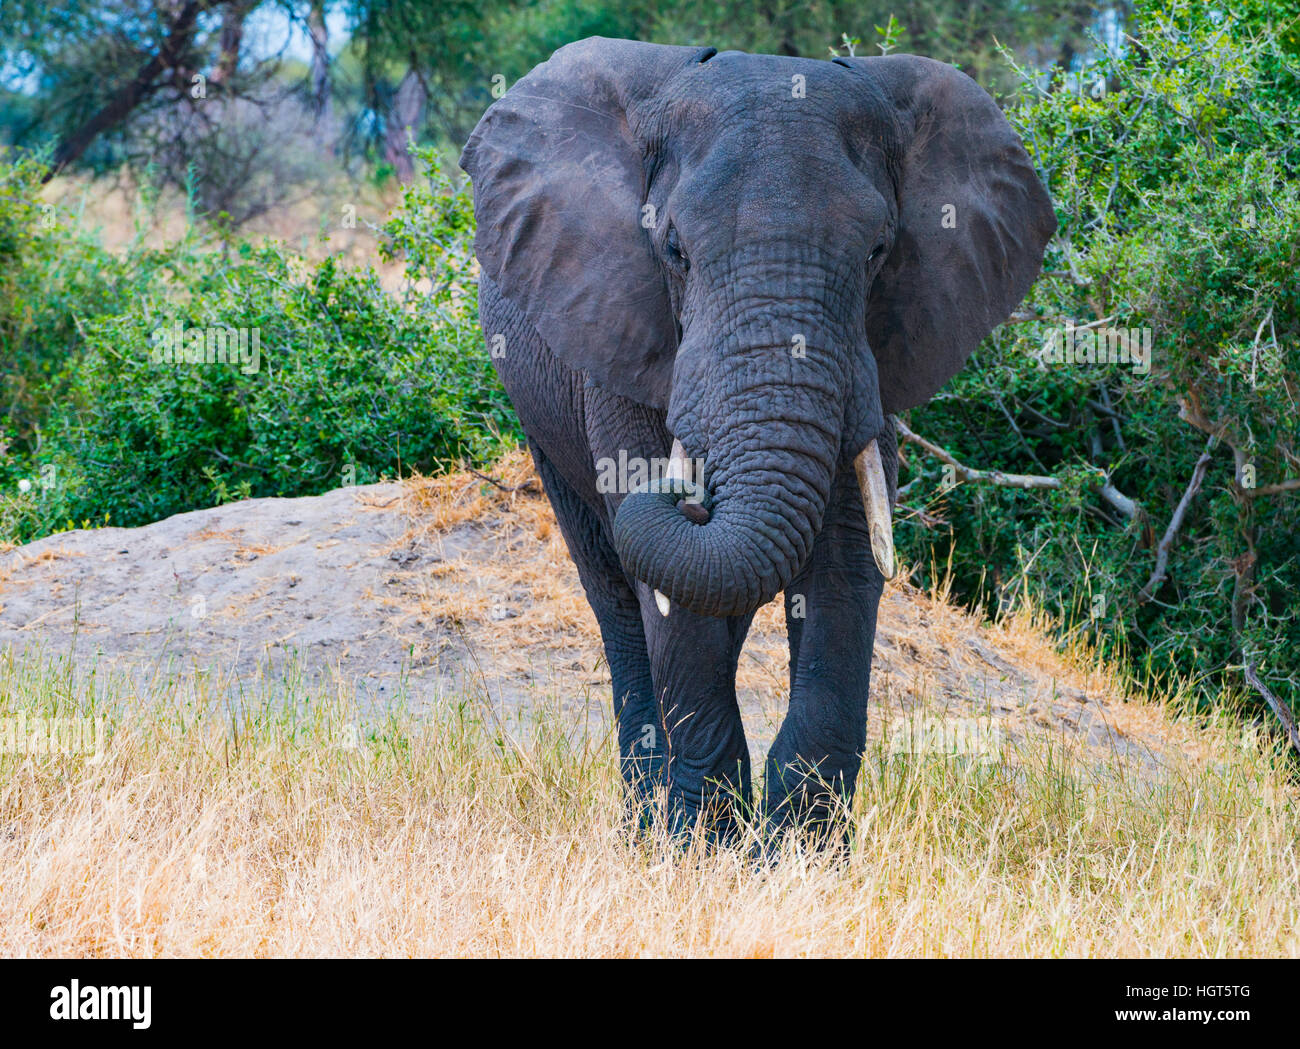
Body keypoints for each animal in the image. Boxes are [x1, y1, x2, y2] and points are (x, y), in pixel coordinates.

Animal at [460, 37, 1055, 846]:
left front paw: (804, 854)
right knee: (615, 594)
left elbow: (845, 566)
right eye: (673, 249)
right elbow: (674, 602)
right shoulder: (621, 323)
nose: (690, 493)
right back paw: (644, 826)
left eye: (878, 251)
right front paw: (701, 849)